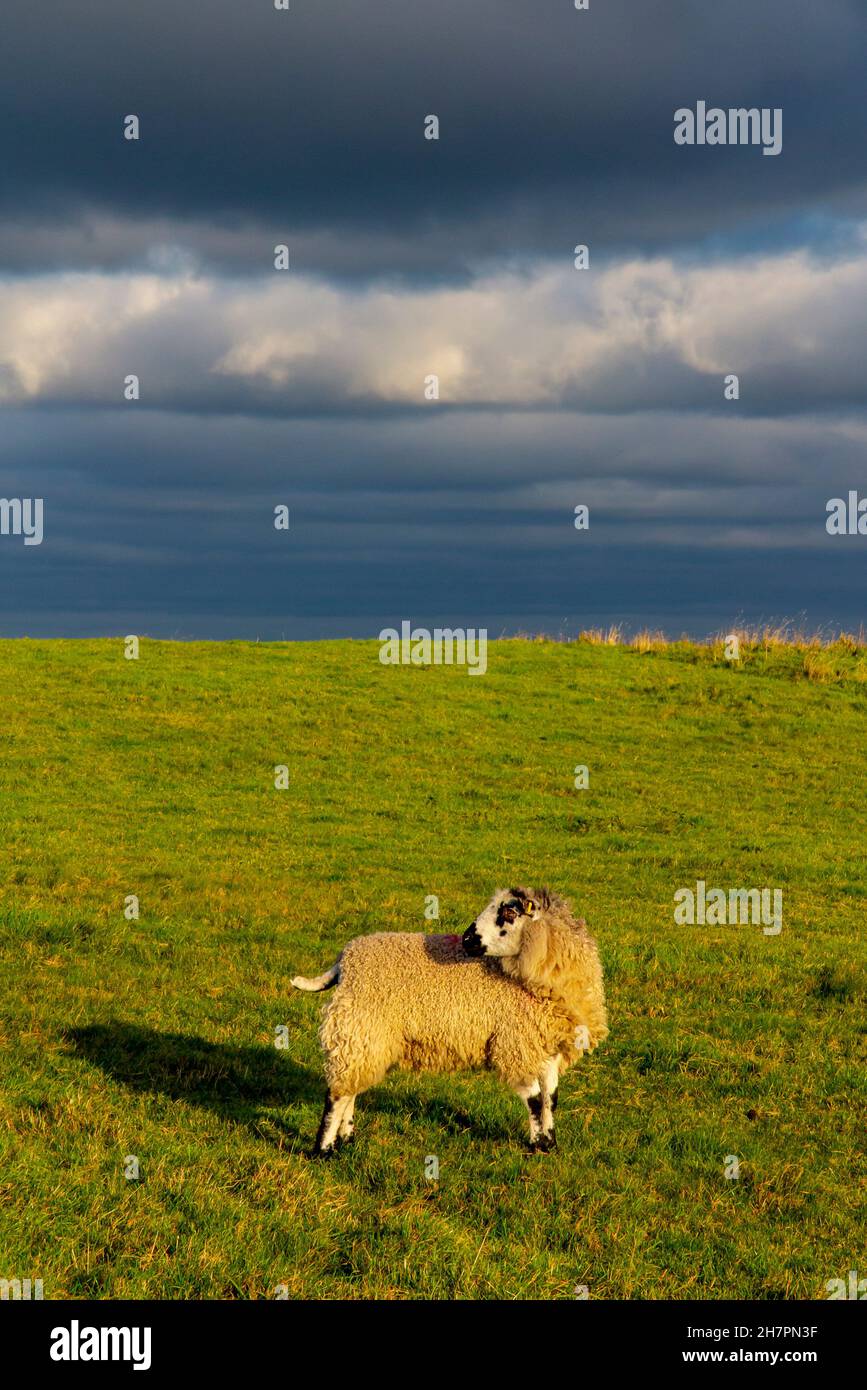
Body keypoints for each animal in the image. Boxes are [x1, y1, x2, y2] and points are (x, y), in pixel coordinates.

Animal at [291, 886, 608, 1155]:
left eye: (508, 912)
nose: (466, 939)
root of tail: (346, 959)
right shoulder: (516, 1047)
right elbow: (533, 1099)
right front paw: (537, 1143)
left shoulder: (545, 1048)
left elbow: (550, 1097)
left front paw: (549, 1143)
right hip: (357, 1027)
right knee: (336, 1095)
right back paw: (323, 1150)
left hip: (366, 1038)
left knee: (350, 1089)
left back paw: (346, 1138)